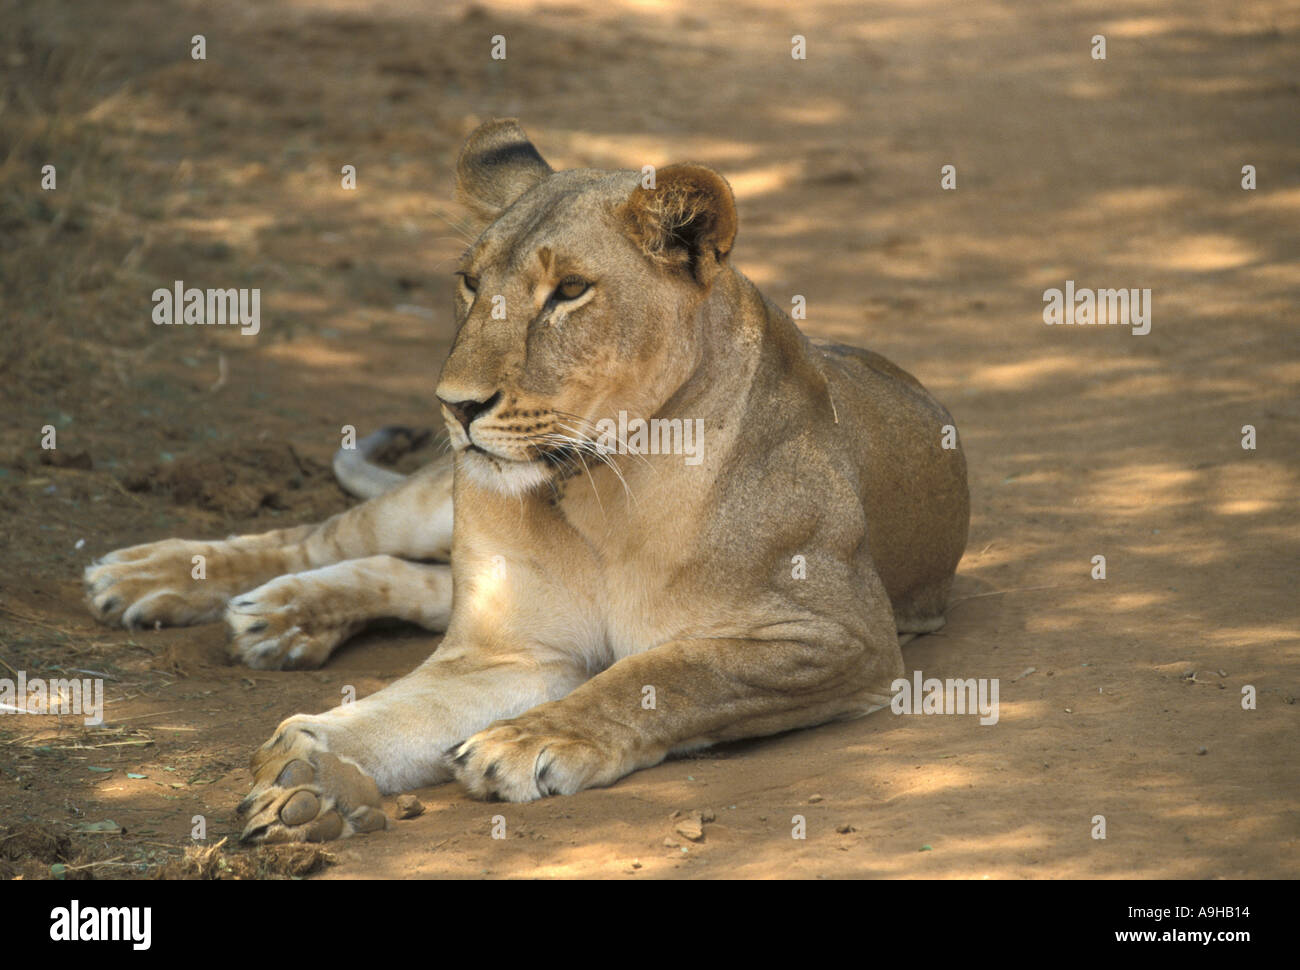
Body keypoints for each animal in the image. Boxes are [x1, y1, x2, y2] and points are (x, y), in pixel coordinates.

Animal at [83, 120, 969, 843]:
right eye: (471, 282)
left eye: (569, 291)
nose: (456, 406)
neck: (602, 488)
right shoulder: (512, 652)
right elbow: (401, 710)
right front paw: (311, 766)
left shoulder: (839, 635)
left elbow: (664, 674)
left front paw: (527, 740)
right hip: (430, 505)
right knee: (328, 537)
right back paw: (166, 579)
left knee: (414, 580)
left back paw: (283, 619)